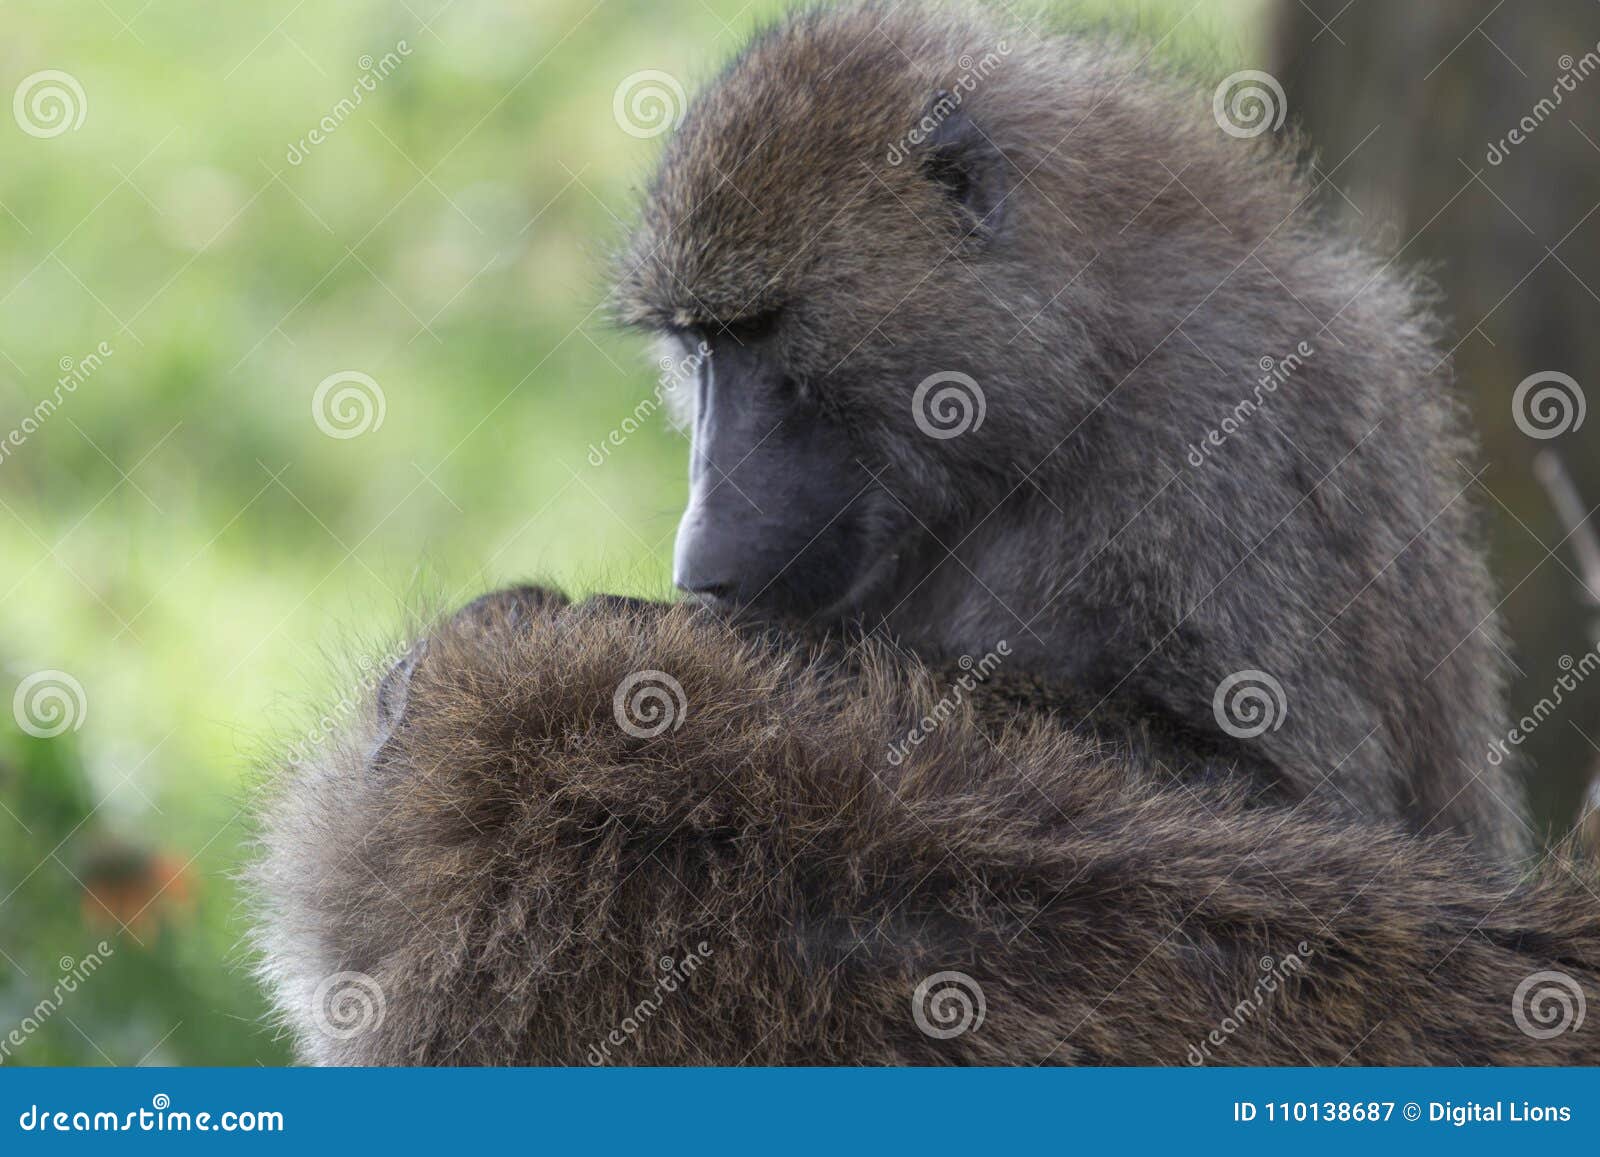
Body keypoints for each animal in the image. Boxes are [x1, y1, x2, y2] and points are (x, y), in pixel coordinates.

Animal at [613, 2, 1527, 862]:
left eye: (763, 333)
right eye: (701, 344)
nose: (700, 568)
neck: (1076, 383)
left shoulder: (1221, 440)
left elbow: (1300, 802)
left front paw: (754, 651)